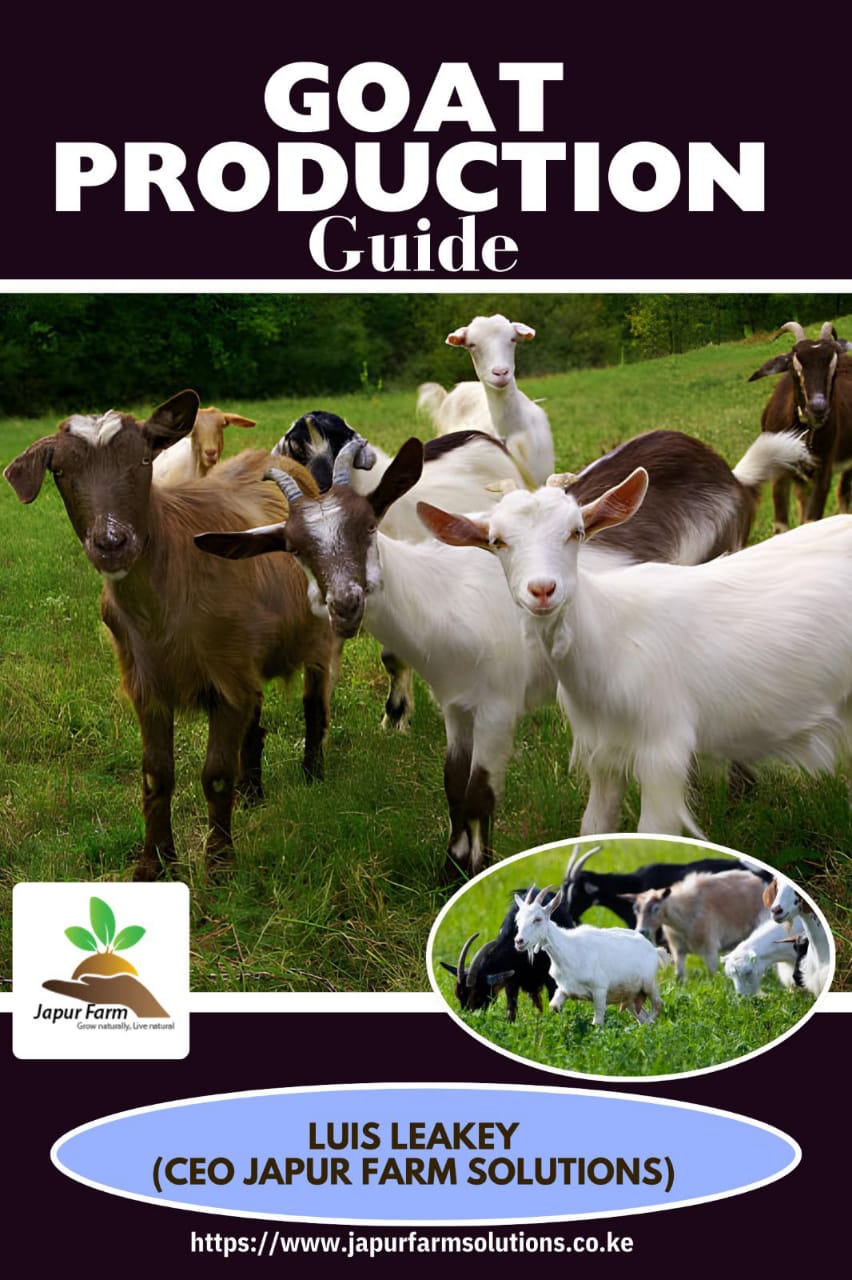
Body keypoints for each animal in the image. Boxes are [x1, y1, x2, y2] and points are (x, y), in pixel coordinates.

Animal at [4, 390, 334, 881]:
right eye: (59, 471)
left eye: (144, 460)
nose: (112, 543)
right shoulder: (148, 682)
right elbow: (156, 775)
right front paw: (153, 863)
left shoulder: (225, 675)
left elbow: (216, 773)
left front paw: (219, 863)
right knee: (255, 722)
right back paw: (252, 793)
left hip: (318, 635)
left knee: (315, 703)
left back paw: (313, 774)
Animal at [419, 468, 852, 840]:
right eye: (498, 541)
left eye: (576, 532)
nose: (542, 590)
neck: (610, 638)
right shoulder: (604, 751)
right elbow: (594, 828)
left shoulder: (664, 748)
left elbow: (656, 833)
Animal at [514, 886, 666, 1026]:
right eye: (517, 920)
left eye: (538, 919)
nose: (519, 941)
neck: (569, 951)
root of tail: (654, 950)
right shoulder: (564, 988)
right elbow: (554, 1006)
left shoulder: (600, 989)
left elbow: (597, 1022)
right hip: (630, 996)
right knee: (642, 1016)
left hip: (649, 984)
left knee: (658, 1005)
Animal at [629, 870, 768, 980]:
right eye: (635, 910)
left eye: (656, 908)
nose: (642, 931)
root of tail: (759, 882)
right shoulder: (678, 949)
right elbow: (679, 977)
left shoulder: (710, 947)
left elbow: (713, 974)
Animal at [749, 320, 852, 530]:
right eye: (793, 366)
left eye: (834, 368)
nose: (818, 408)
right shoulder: (781, 473)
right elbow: (782, 526)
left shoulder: (823, 471)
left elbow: (811, 520)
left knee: (843, 493)